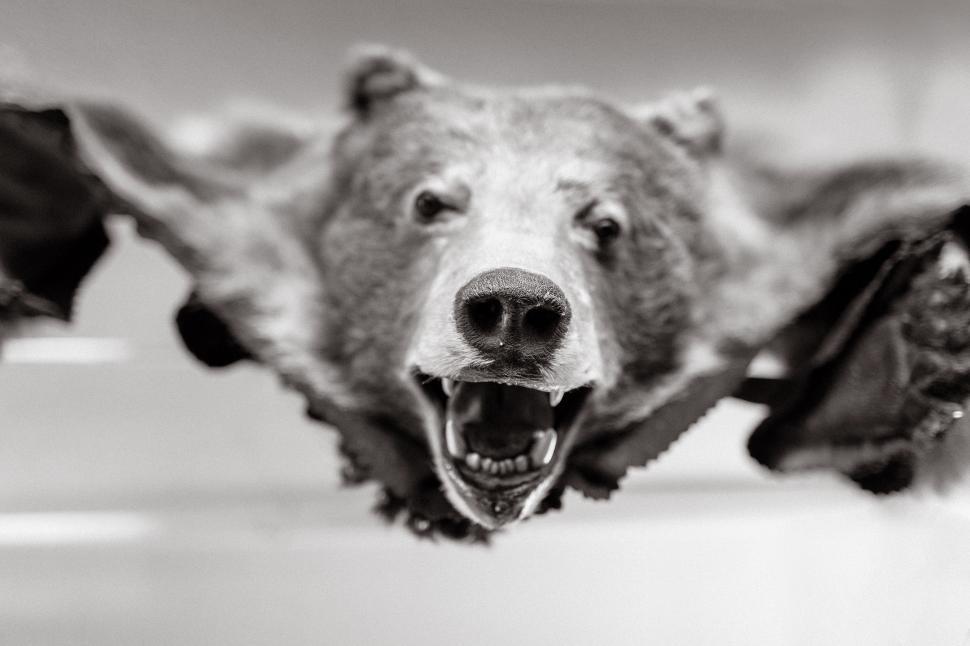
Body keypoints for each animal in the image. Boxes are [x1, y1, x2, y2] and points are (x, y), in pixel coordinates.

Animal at [1, 46, 968, 540]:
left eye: (605, 221)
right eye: (431, 201)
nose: (513, 308)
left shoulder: (797, 247)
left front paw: (929, 339)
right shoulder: (216, 219)